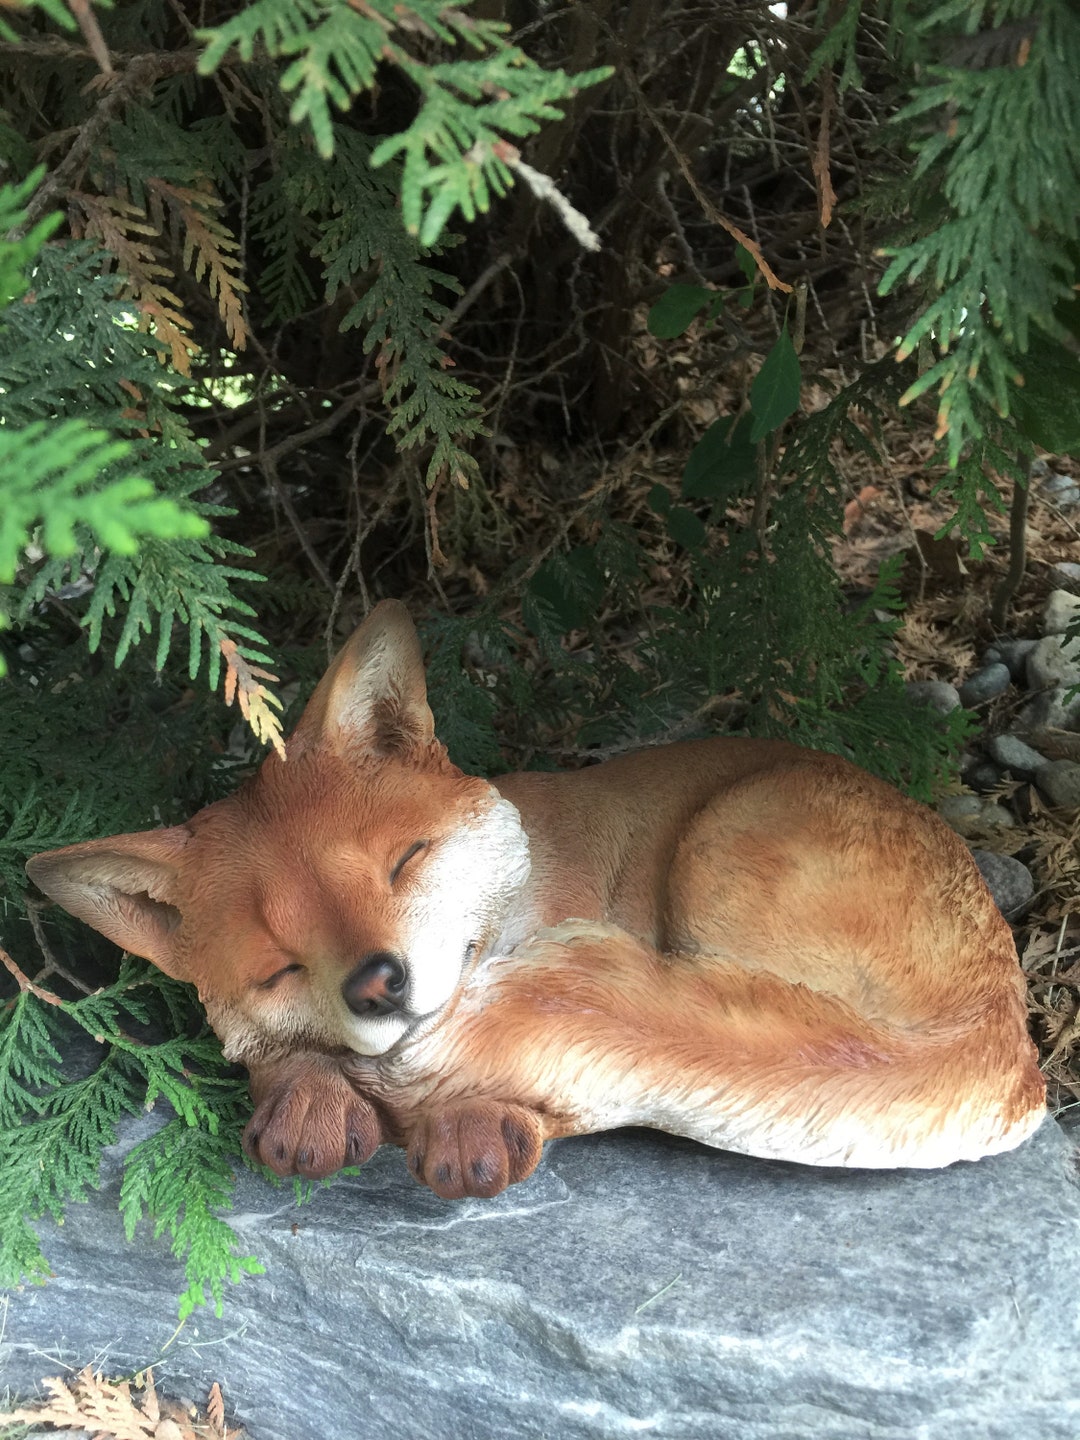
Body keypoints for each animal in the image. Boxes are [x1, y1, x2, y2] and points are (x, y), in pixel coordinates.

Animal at [27, 601, 1046, 1199]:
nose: (379, 985)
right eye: (280, 965)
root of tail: (1005, 1033)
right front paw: (309, 1097)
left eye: (402, 862)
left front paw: (475, 1117)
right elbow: (279, 1056)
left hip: (717, 854)